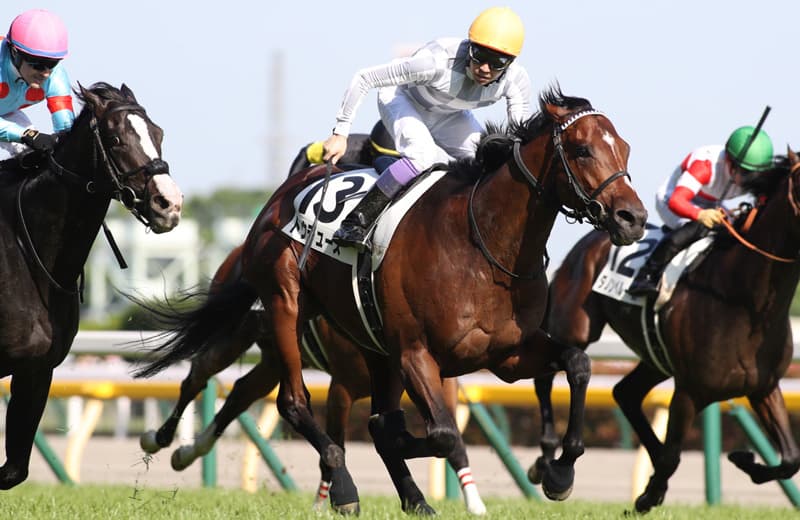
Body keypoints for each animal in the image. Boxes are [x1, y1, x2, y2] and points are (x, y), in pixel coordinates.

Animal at [136, 244, 487, 515]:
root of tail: (240, 252)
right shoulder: (341, 388)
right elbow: (338, 442)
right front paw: (336, 499)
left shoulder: (438, 380)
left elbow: (450, 438)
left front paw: (474, 502)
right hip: (235, 335)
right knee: (198, 375)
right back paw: (160, 439)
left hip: (274, 359)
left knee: (240, 393)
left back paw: (191, 449)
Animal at [534, 150, 800, 513]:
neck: (746, 305)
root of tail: (594, 236)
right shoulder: (689, 391)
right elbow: (673, 456)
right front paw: (647, 496)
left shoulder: (764, 387)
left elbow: (790, 459)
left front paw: (744, 458)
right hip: (573, 326)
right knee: (547, 376)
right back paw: (545, 458)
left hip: (656, 358)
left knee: (625, 392)